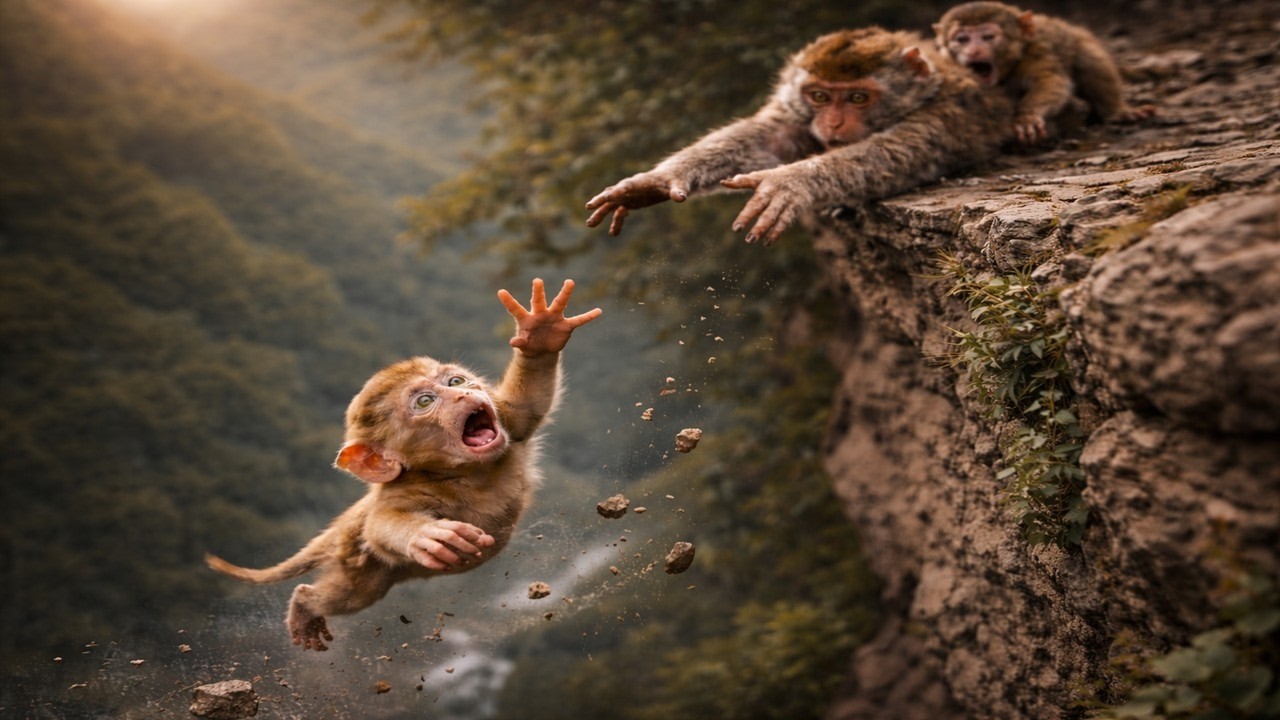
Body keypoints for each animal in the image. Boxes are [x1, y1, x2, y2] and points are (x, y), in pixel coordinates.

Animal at [206, 278, 601, 651]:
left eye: (455, 381)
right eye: (425, 401)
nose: (463, 394)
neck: (469, 473)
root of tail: (346, 523)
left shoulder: (508, 431)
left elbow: (525, 409)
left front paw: (540, 333)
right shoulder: (405, 489)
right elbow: (382, 524)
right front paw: (427, 535)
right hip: (358, 566)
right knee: (349, 593)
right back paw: (305, 603)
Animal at [585, 27, 1015, 246]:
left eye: (858, 98)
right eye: (820, 97)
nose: (833, 124)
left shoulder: (949, 114)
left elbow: (896, 153)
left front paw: (791, 182)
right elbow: (769, 140)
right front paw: (657, 180)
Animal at [934, 1, 1155, 144]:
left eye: (988, 37)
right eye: (961, 40)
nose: (974, 51)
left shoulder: (1035, 52)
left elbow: (1050, 81)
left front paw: (1027, 116)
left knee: (1087, 60)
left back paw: (1115, 110)